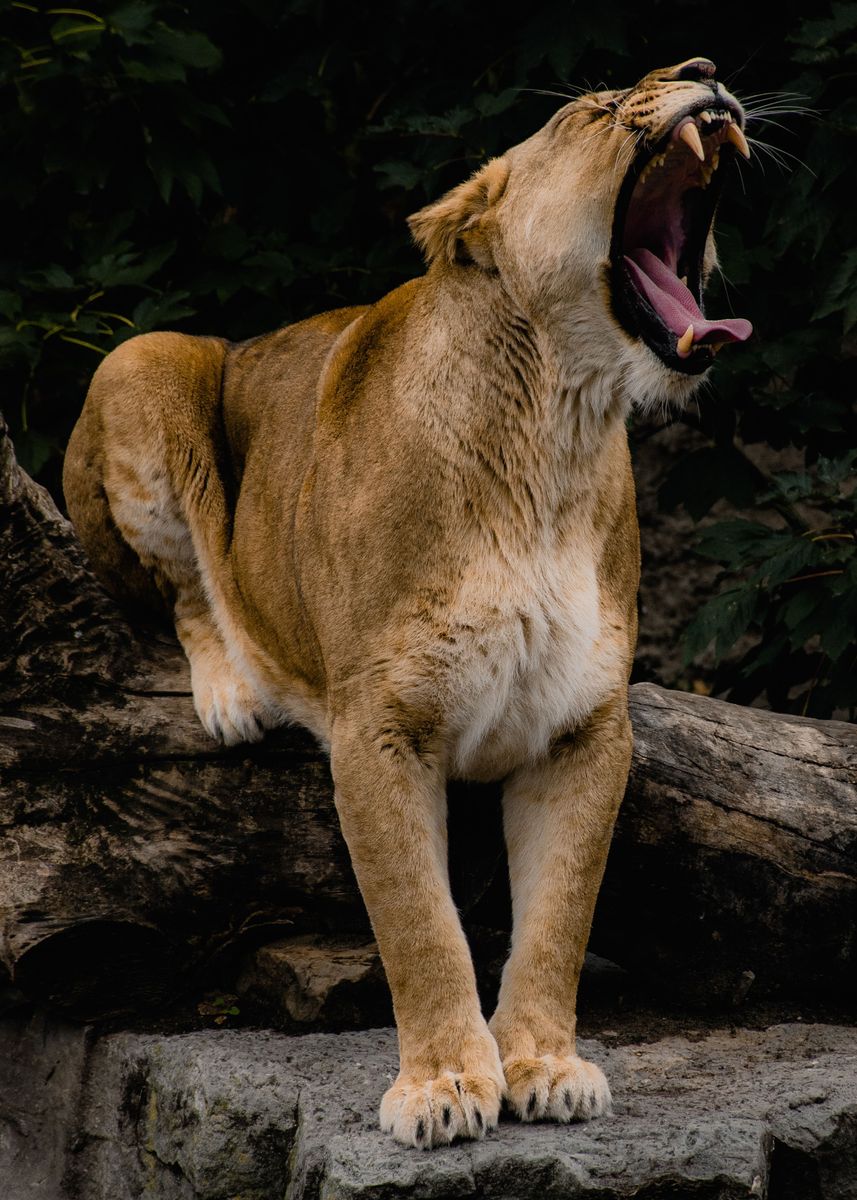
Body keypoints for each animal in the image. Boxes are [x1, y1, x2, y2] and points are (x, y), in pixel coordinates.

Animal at [63, 57, 751, 1148]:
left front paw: (542, 1064)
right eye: (596, 111)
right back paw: (231, 692)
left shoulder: (583, 730)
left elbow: (557, 917)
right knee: (186, 590)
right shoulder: (376, 726)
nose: (703, 71)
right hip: (147, 359)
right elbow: (420, 923)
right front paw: (442, 1087)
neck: (556, 428)